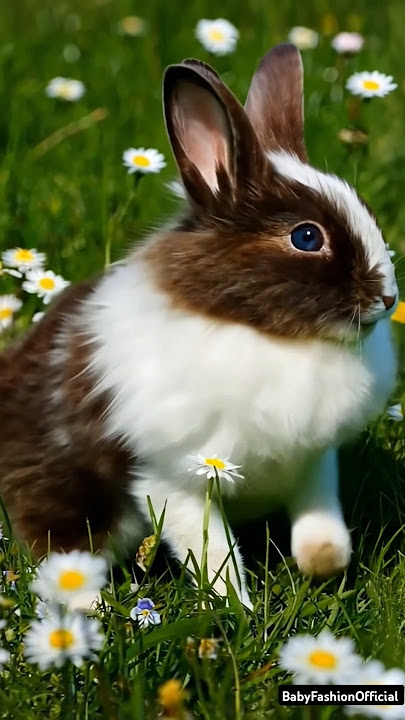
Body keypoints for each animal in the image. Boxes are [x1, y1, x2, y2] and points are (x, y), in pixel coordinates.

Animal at [0, 44, 398, 609]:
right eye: (306, 237)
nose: (388, 298)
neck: (261, 332)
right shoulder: (174, 478)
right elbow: (212, 554)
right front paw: (238, 609)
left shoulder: (311, 461)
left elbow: (322, 529)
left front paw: (321, 567)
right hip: (71, 503)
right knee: (64, 561)